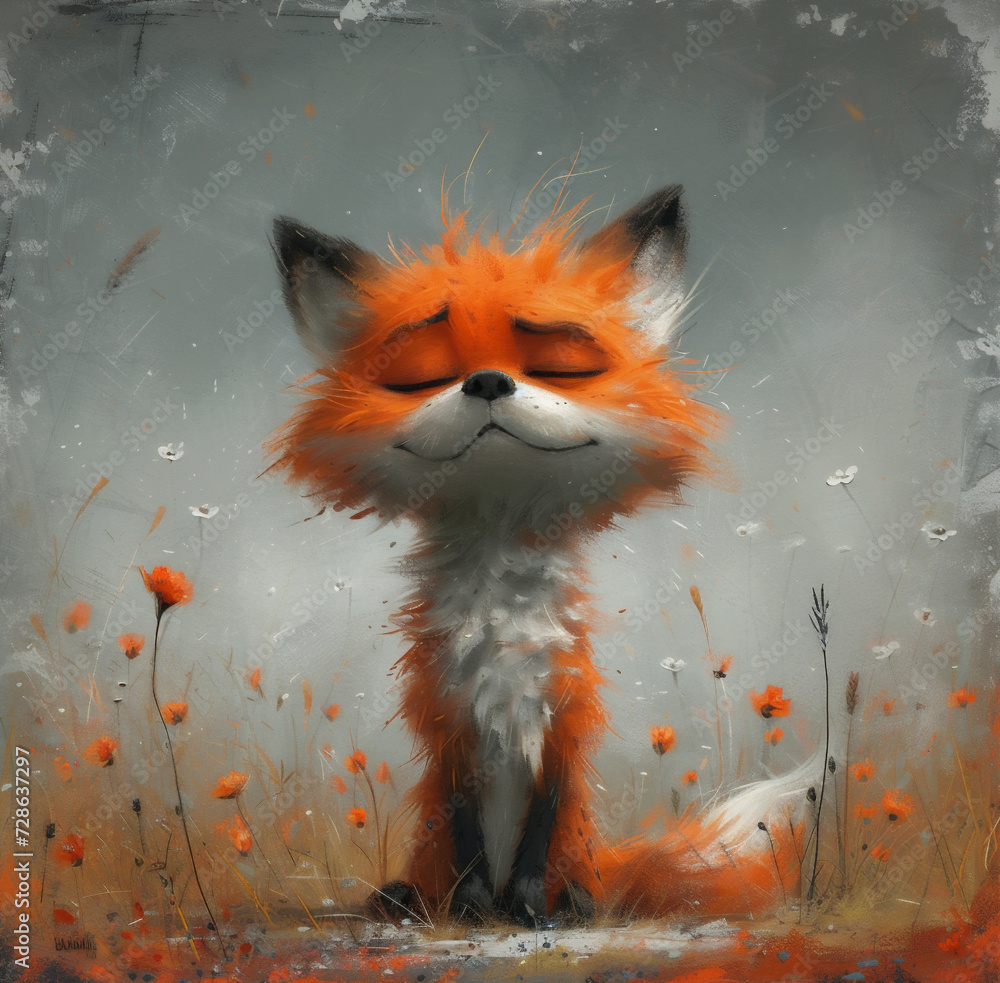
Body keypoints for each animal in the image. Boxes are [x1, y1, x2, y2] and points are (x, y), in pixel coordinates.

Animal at [267, 185, 808, 927]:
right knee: (418, 883)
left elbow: (534, 839)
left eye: (560, 368)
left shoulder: (559, 730)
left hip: (580, 853)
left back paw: (570, 903)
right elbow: (467, 839)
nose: (488, 381)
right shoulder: (452, 731)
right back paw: (412, 901)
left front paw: (527, 909)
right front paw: (470, 909)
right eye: (421, 376)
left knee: (578, 879)